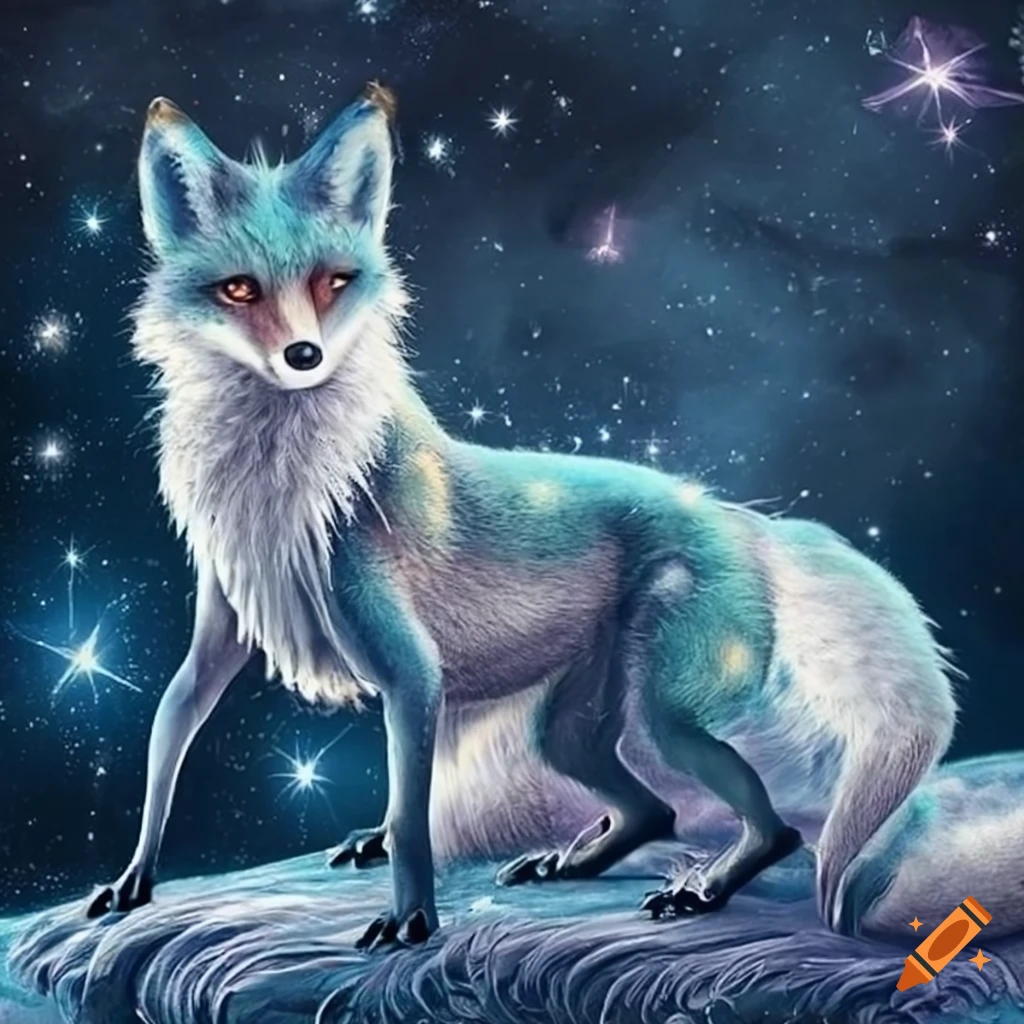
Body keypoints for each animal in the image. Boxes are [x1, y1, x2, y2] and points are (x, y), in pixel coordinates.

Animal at [86, 81, 960, 950]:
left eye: (335, 282)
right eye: (239, 289)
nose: (306, 356)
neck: (289, 480)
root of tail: (745, 522)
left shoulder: (413, 674)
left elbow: (413, 819)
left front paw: (411, 917)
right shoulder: (222, 617)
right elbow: (173, 725)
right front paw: (133, 879)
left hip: (664, 716)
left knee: (769, 828)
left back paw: (702, 888)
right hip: (569, 732)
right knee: (653, 810)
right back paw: (571, 860)